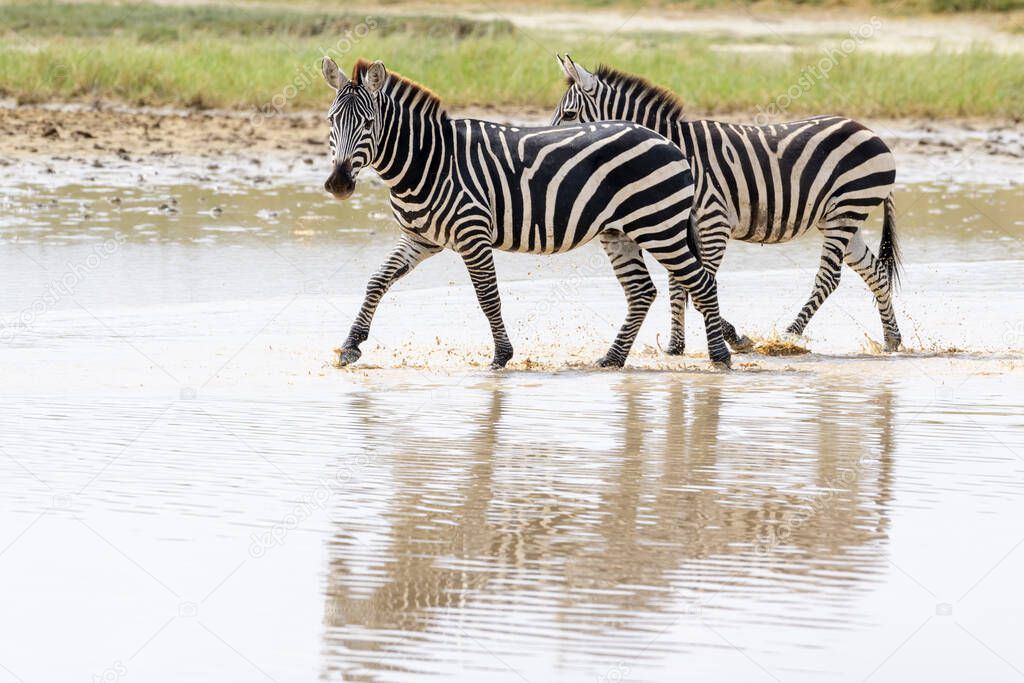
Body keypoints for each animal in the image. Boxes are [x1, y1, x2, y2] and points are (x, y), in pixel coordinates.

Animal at [321, 57, 731, 369]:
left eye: (368, 124)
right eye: (330, 121)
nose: (339, 183)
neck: (429, 161)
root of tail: (669, 142)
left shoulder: (473, 235)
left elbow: (488, 297)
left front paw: (502, 355)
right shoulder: (420, 239)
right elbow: (377, 281)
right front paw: (351, 345)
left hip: (659, 225)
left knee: (701, 282)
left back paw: (719, 355)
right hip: (621, 232)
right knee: (643, 290)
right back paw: (612, 358)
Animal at [551, 55, 903, 354]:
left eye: (568, 115)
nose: (554, 148)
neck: (679, 151)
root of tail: (871, 132)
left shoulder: (712, 222)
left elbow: (699, 284)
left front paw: (732, 338)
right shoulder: (681, 225)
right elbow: (680, 283)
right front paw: (675, 346)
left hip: (846, 209)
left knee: (829, 277)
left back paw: (789, 334)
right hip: (842, 218)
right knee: (875, 272)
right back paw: (892, 340)